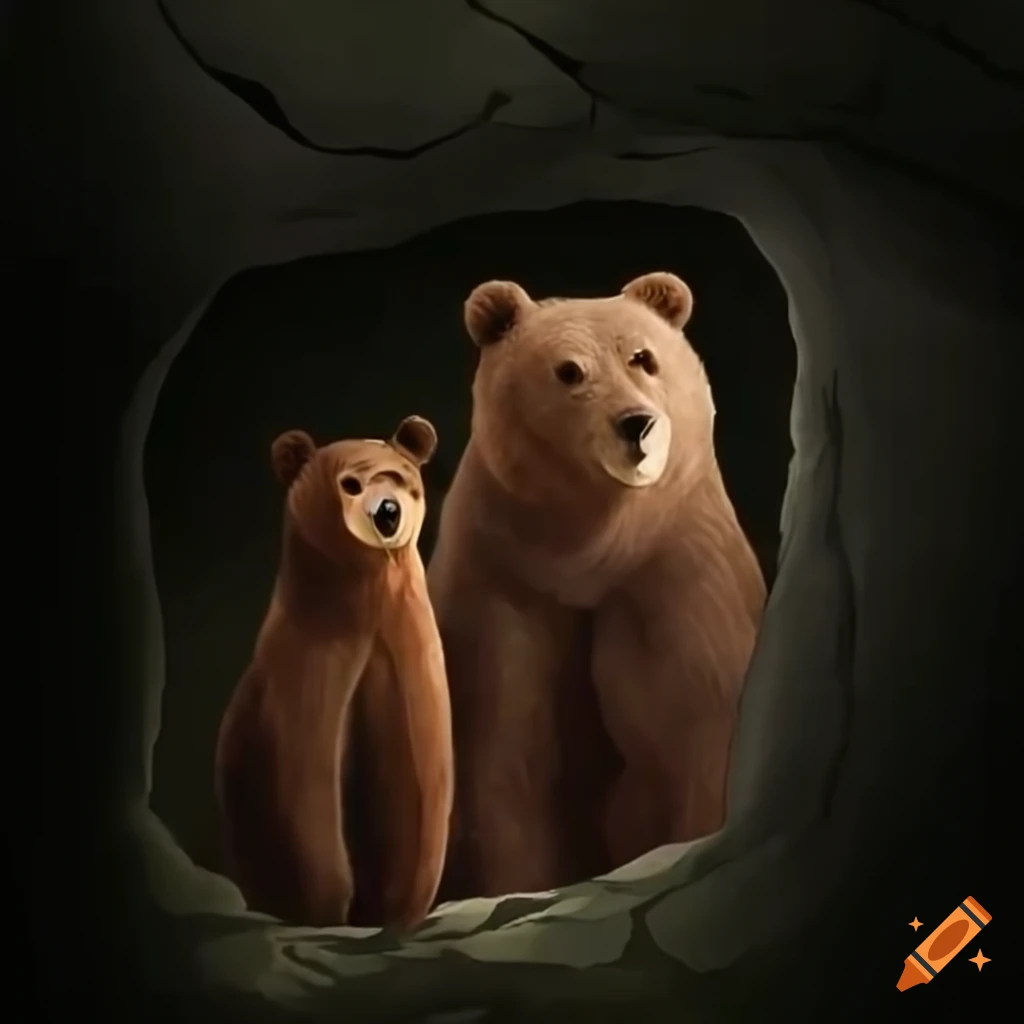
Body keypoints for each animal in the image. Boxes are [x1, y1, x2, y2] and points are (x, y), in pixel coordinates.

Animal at [214, 416, 453, 930]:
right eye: (350, 483)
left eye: (401, 477)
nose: (387, 513)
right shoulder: (313, 671)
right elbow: (307, 799)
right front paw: (327, 907)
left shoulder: (412, 661)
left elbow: (417, 793)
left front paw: (395, 910)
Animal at [428, 272, 766, 899]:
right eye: (569, 370)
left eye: (643, 357)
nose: (637, 425)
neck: (593, 549)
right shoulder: (503, 590)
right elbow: (513, 764)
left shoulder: (679, 577)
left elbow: (698, 734)